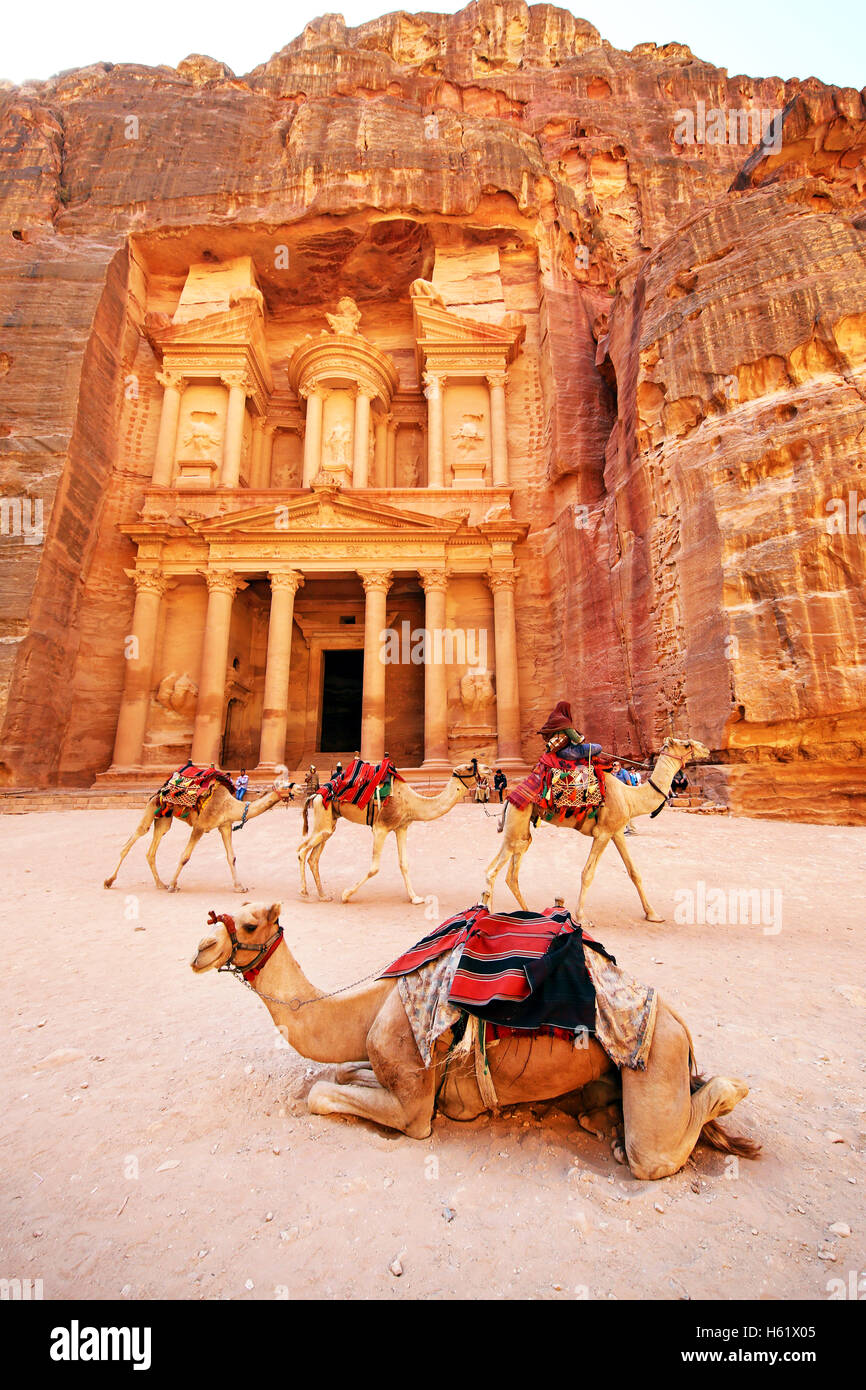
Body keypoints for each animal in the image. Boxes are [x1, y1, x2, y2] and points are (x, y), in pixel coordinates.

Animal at [104, 775, 294, 894]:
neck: (229, 805)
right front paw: (173, 885)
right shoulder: (200, 826)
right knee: (132, 840)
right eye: (287, 785)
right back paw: (109, 881)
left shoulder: (225, 825)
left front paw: (240, 887)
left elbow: (231, 857)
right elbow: (185, 857)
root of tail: (161, 789)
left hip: (164, 818)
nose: (298, 788)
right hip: (152, 807)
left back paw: (159, 884)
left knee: (151, 851)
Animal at [190, 901, 759, 1180]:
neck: (371, 1003)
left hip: (657, 1057)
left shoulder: (413, 1110)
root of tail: (677, 1020)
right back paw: (602, 1121)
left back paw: (728, 1094)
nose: (199, 948)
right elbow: (344, 1070)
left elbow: (321, 1092)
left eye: (249, 923)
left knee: (654, 1152)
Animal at [298, 759, 491, 905]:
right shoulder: (380, 827)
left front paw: (415, 898)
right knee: (302, 851)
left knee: (313, 857)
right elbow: (374, 868)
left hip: (329, 824)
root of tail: (315, 795)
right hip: (322, 820)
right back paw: (305, 893)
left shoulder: (401, 827)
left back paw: (323, 896)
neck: (411, 801)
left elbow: (404, 863)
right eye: (469, 767)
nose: (488, 769)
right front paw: (346, 894)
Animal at [484, 736, 710, 924]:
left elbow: (634, 872)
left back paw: (526, 913)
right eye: (686, 744)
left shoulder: (616, 832)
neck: (629, 797)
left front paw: (653, 914)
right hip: (519, 820)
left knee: (507, 873)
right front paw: (582, 917)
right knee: (493, 872)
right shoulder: (603, 833)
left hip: (519, 830)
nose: (706, 749)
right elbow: (587, 873)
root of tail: (509, 799)